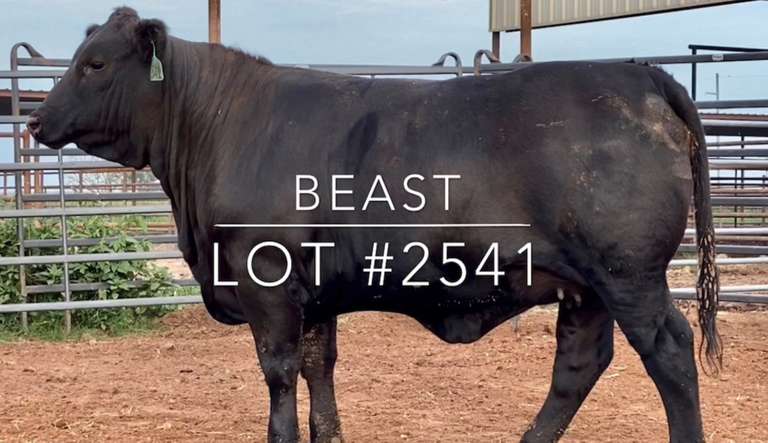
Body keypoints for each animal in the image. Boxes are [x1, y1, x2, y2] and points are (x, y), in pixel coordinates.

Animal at [27, 8, 722, 443]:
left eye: (94, 63)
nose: (34, 121)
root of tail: (636, 71)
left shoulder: (266, 280)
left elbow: (279, 373)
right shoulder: (313, 295)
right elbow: (319, 371)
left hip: (629, 274)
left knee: (670, 354)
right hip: (586, 287)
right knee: (579, 364)